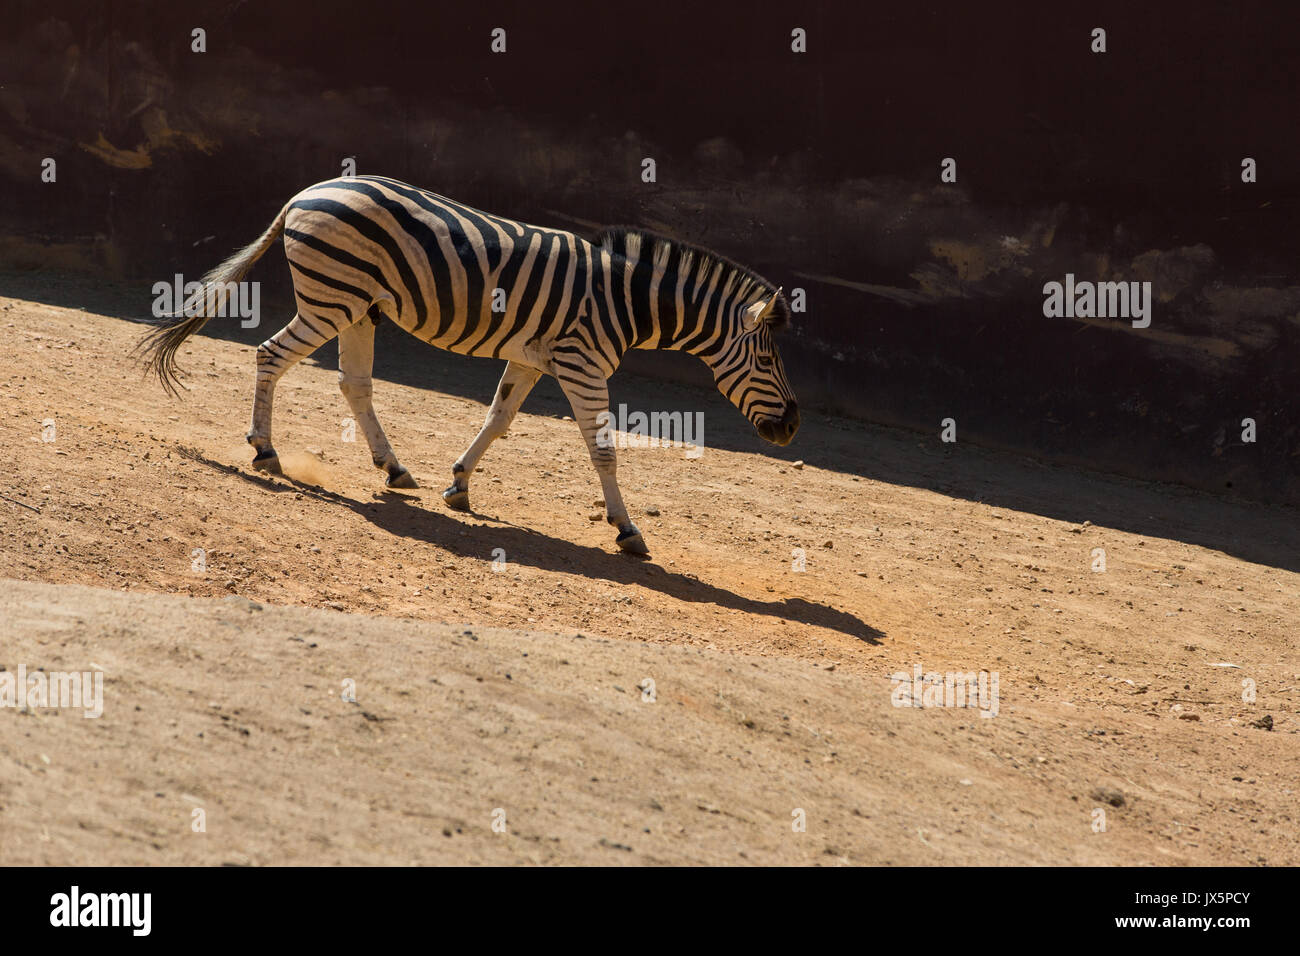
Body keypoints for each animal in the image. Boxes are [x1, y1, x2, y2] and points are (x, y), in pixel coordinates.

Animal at [138, 175, 799, 555]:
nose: (792, 427)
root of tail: (304, 194)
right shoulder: (582, 362)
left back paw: (394, 468)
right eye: (768, 358)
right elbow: (604, 449)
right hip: (333, 298)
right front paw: (627, 530)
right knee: (271, 355)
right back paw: (266, 450)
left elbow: (498, 421)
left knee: (356, 385)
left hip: (357, 306)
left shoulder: (535, 360)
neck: (624, 300)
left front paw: (458, 483)